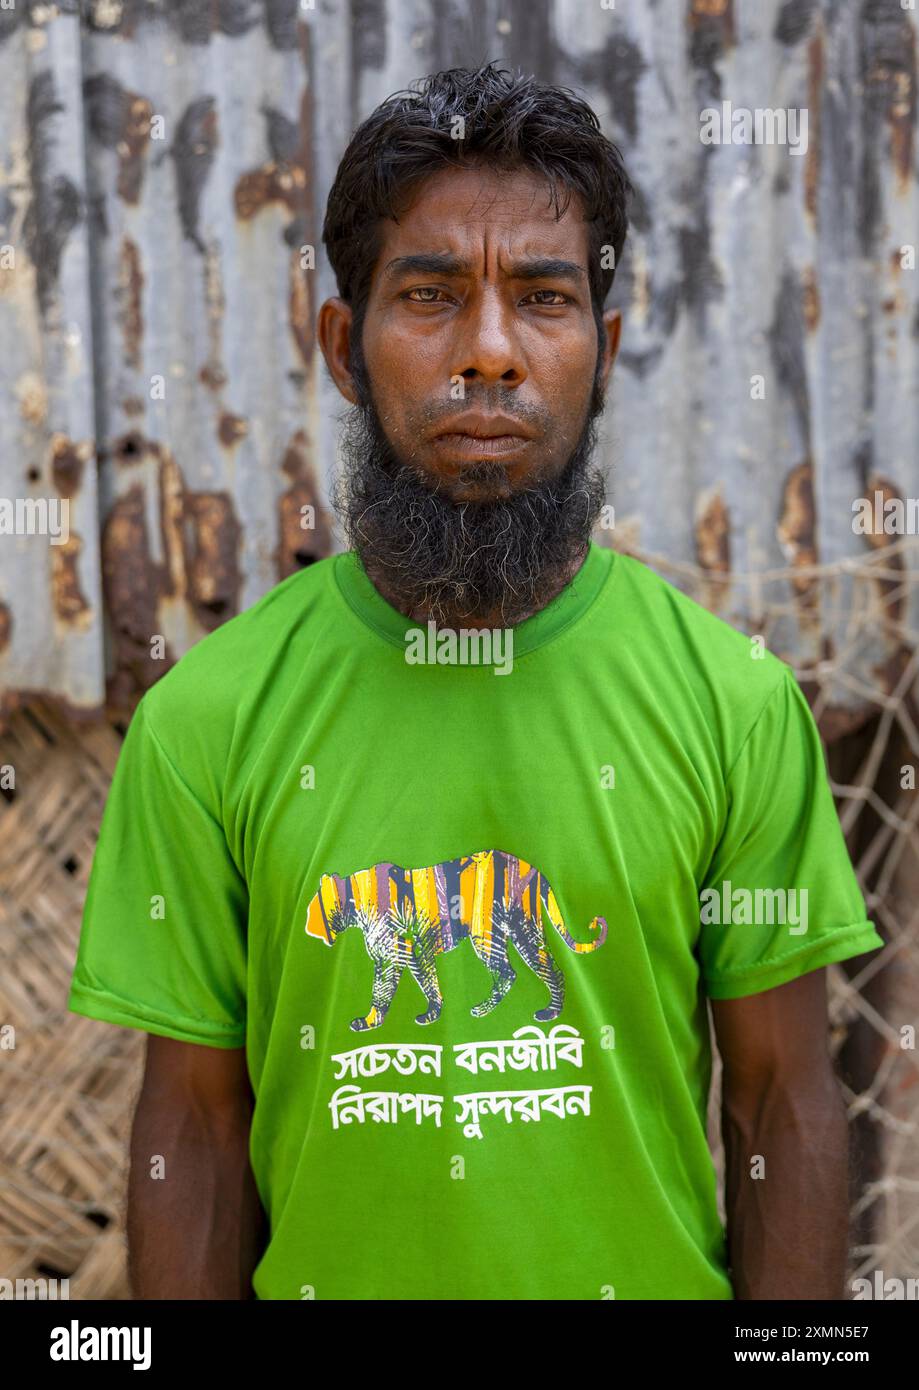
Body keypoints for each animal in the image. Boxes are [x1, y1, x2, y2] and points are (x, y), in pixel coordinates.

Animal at [304, 848, 608, 1032]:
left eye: (310, 910)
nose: (306, 925)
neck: (353, 899)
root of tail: (531, 867)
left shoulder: (390, 955)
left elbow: (381, 990)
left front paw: (369, 1021)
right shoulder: (416, 950)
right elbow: (430, 983)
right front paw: (432, 1014)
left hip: (490, 934)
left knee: (512, 972)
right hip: (522, 930)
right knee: (542, 967)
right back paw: (545, 1011)